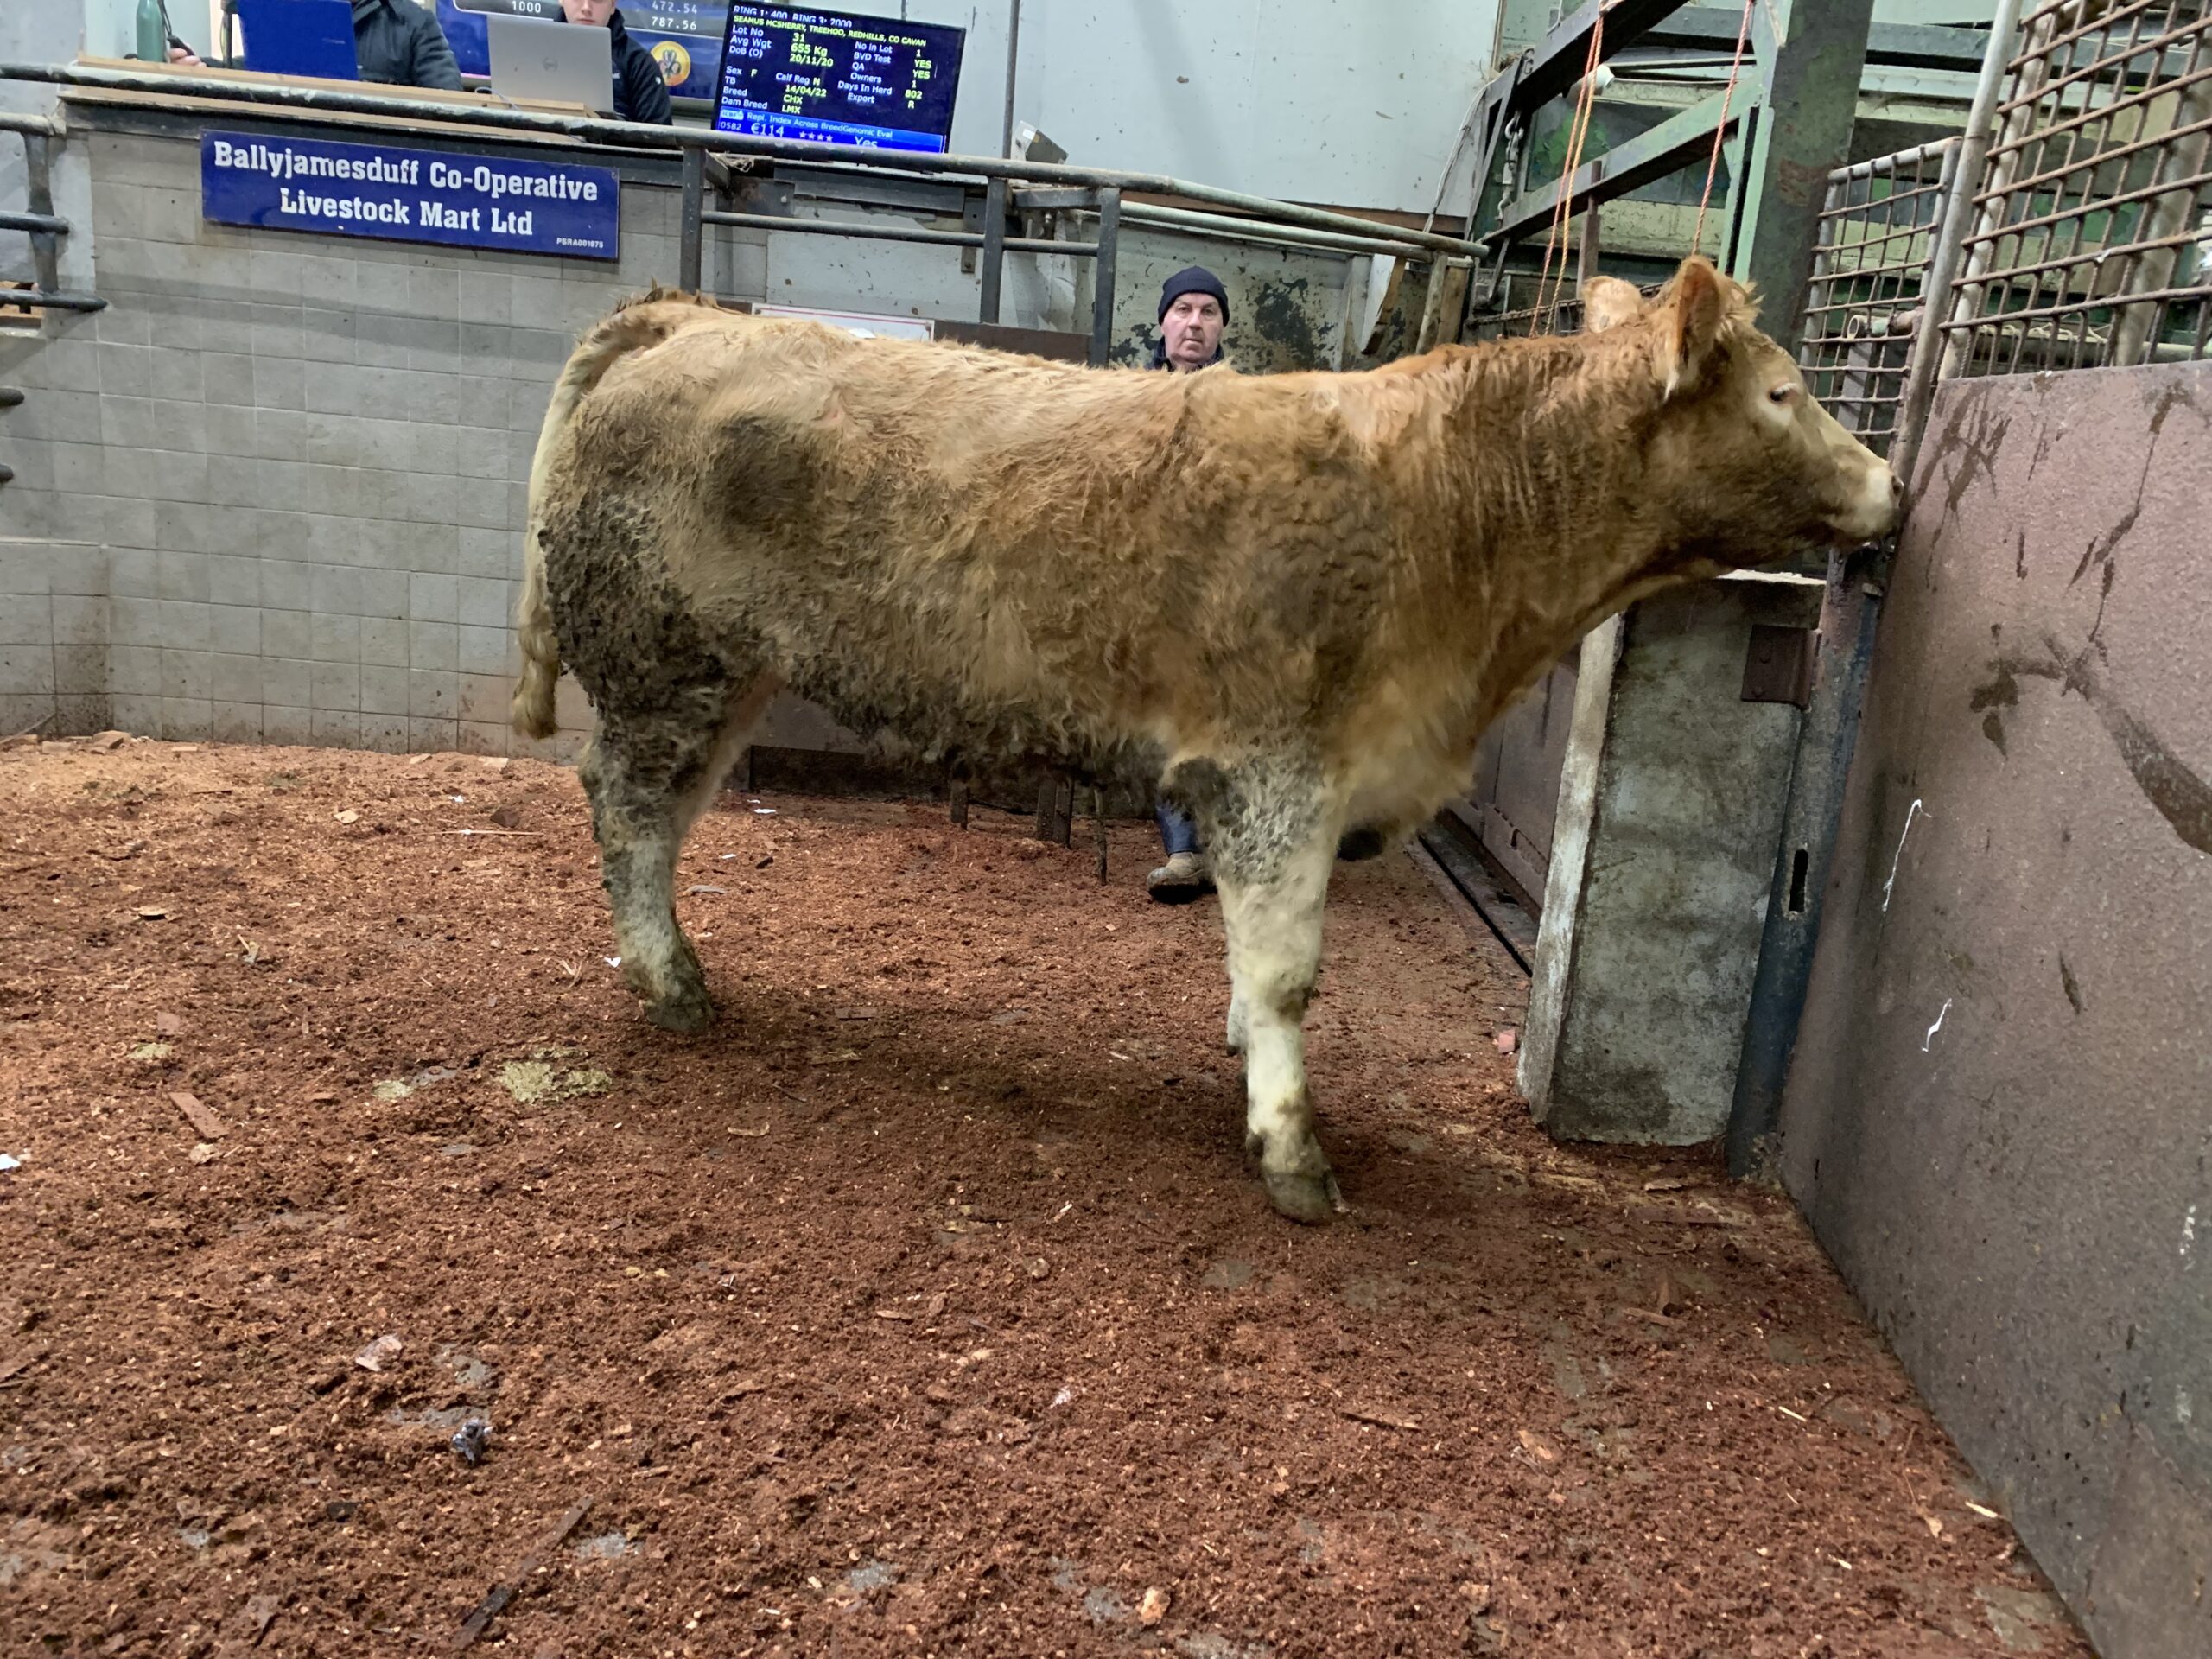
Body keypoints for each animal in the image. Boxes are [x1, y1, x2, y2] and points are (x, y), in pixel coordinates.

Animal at [513, 256, 1898, 1223]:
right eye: (1786, 392)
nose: (1891, 485)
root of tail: (691, 315)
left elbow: (1252, 953)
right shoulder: (1279, 765)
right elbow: (1289, 972)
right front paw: (1292, 1150)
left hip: (727, 675)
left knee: (665, 819)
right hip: (663, 664)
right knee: (628, 812)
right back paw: (672, 986)